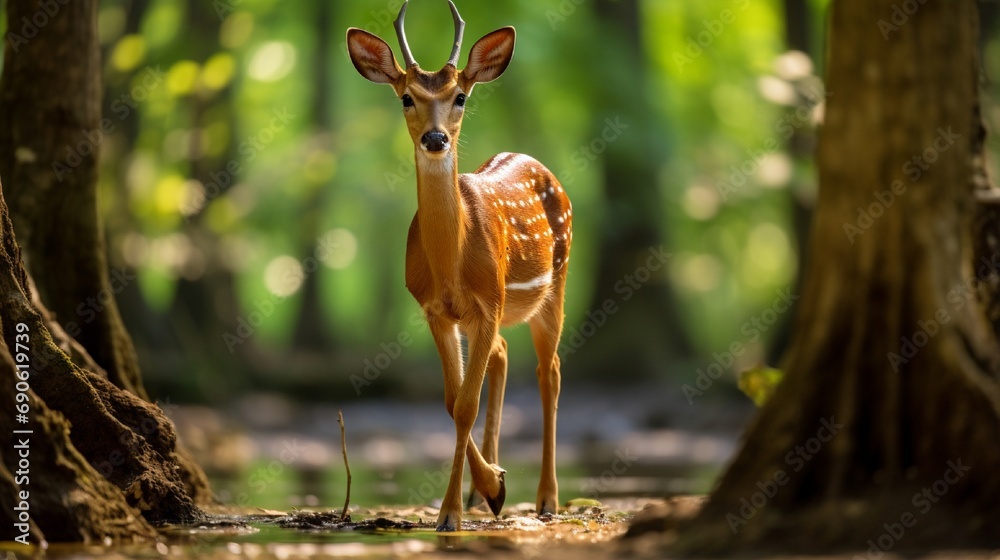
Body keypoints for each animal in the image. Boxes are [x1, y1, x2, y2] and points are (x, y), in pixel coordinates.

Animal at [347, 0, 573, 532]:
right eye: (406, 98)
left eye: (461, 96)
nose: (435, 138)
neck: (451, 265)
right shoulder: (436, 309)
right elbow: (452, 402)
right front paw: (489, 487)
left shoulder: (488, 303)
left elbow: (466, 405)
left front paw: (450, 514)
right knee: (505, 354)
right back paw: (483, 491)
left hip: (555, 285)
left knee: (549, 371)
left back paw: (547, 498)